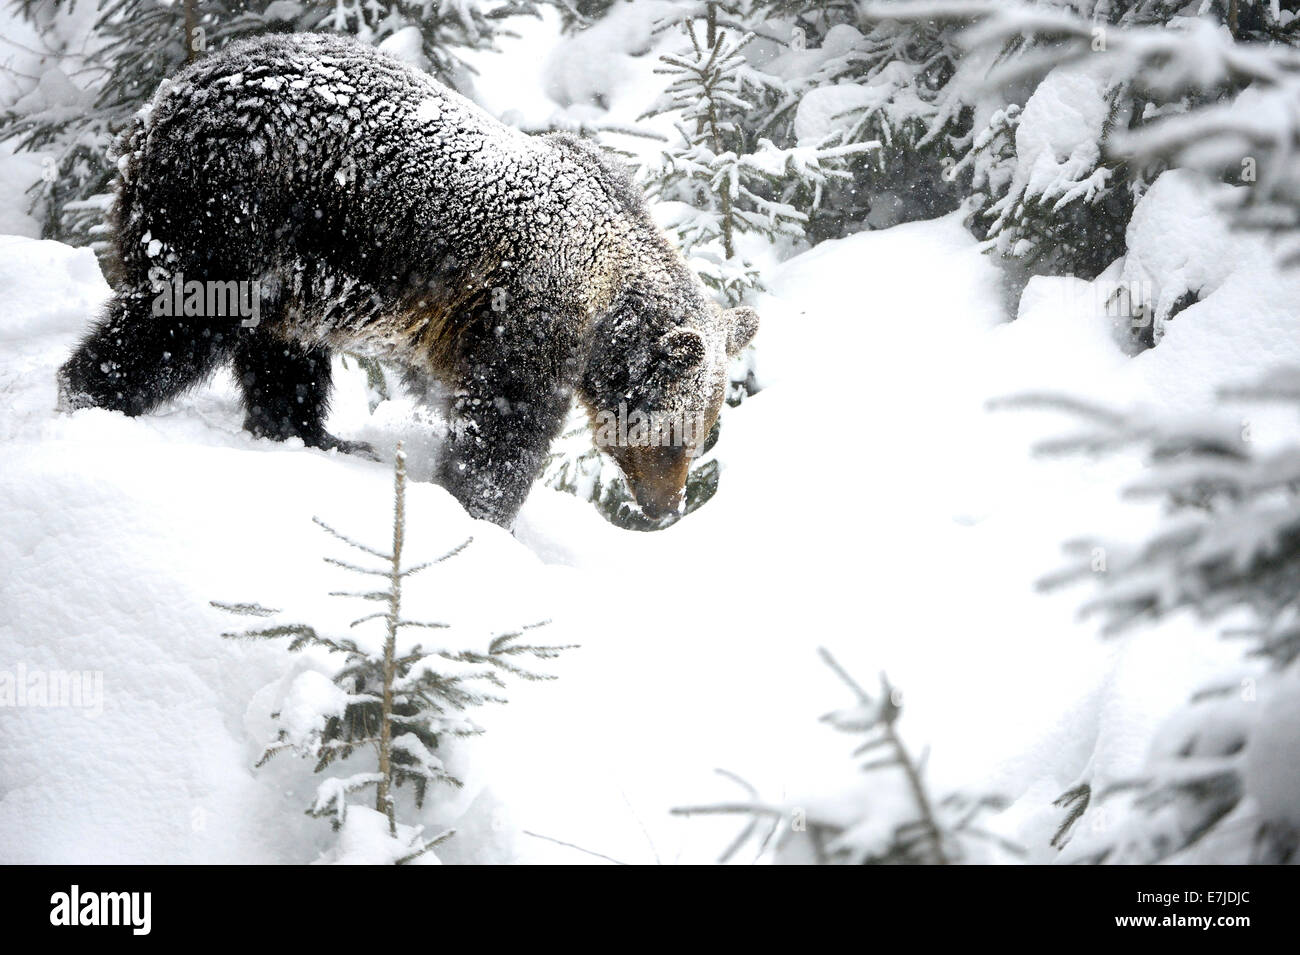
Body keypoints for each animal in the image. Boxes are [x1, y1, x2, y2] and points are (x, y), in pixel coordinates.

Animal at [57, 32, 758, 527]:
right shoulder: (527, 312)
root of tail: (160, 104)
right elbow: (503, 429)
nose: (667, 508)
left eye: (706, 432)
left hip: (288, 275)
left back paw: (318, 438)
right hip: (237, 211)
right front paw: (478, 514)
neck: (608, 300)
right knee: (179, 320)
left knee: (283, 359)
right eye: (676, 434)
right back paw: (93, 399)